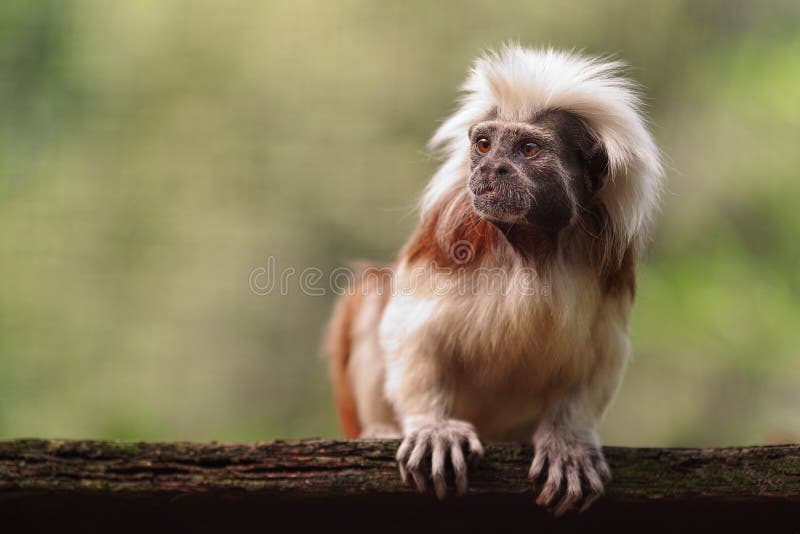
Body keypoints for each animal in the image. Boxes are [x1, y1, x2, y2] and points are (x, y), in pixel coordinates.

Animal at [325, 45, 663, 516]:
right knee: (375, 290)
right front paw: (434, 429)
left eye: (528, 149)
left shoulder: (609, 261)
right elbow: (412, 330)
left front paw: (568, 443)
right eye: (484, 145)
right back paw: (380, 429)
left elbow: (600, 353)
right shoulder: (451, 236)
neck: (530, 244)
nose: (492, 168)